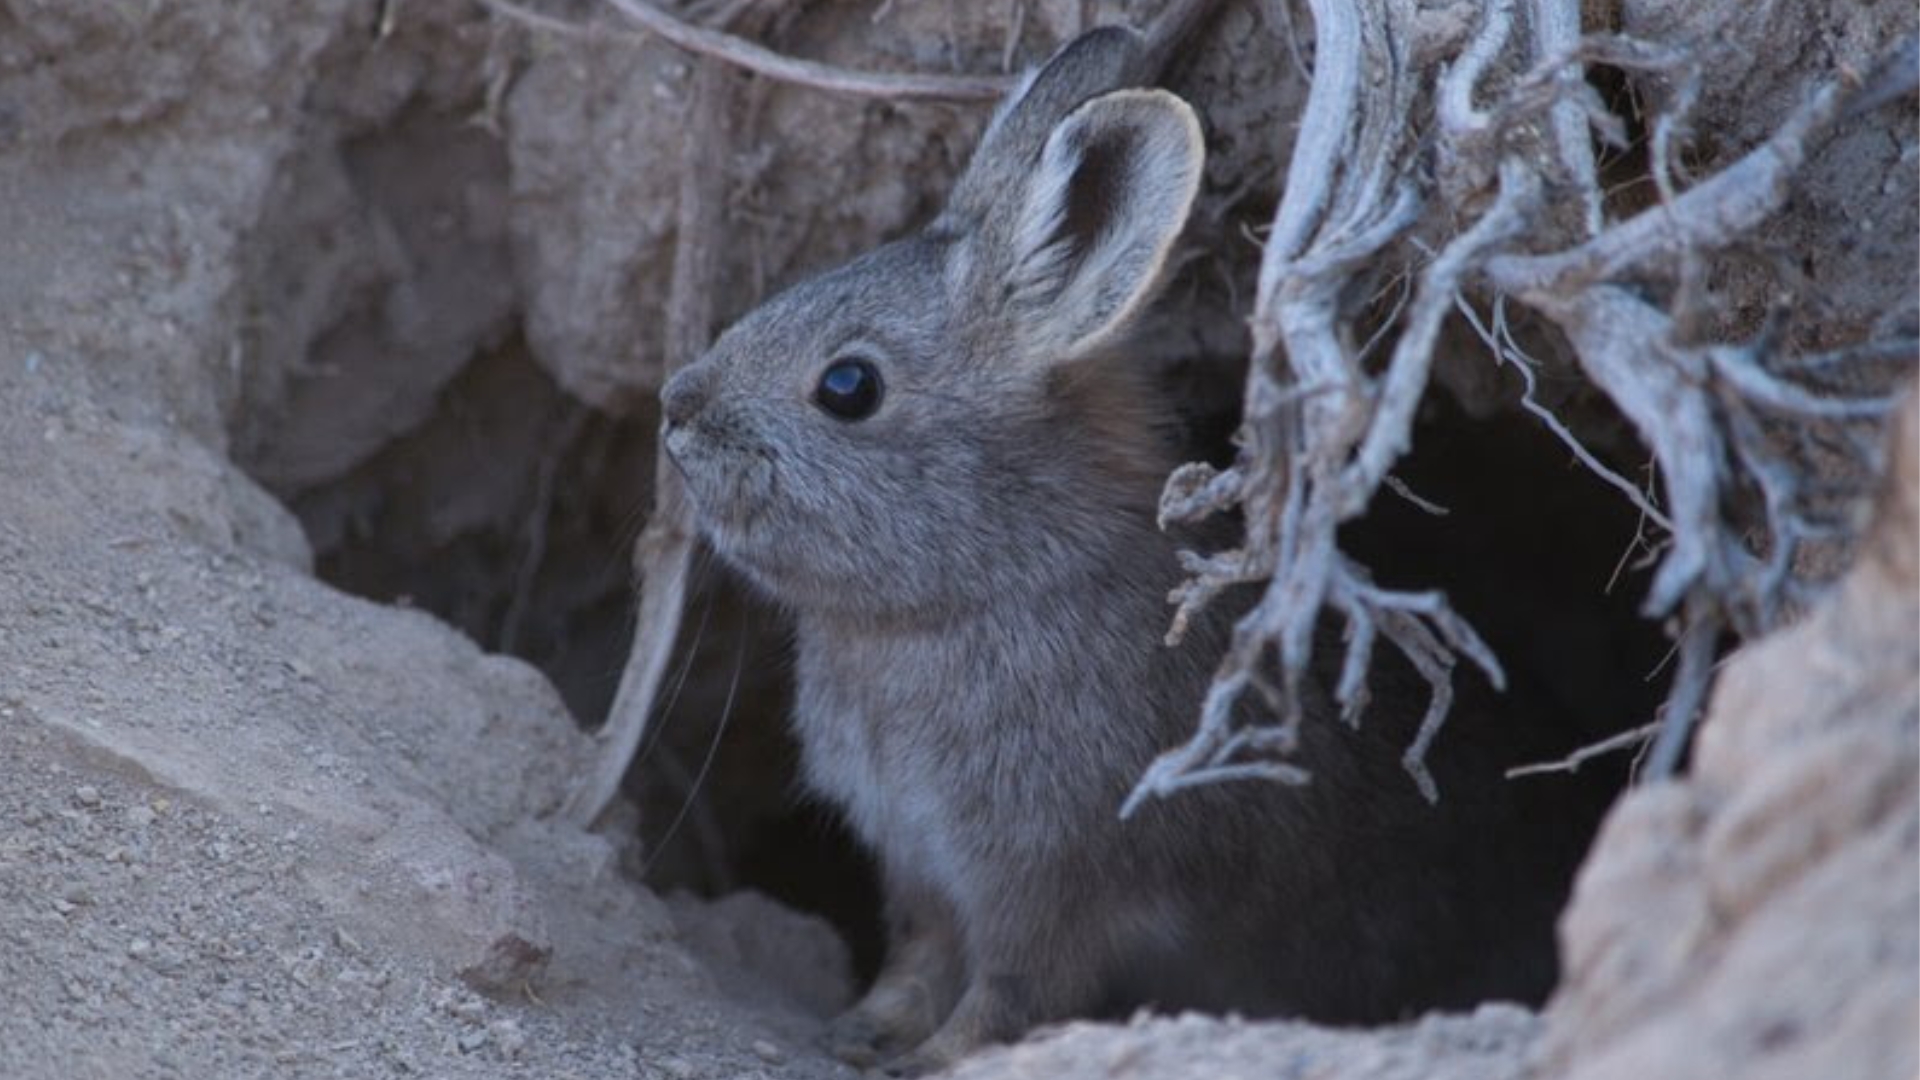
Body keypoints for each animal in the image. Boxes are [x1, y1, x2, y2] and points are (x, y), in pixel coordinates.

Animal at [660, 25, 1582, 1076]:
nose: (677, 411)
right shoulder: (920, 866)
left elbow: (1012, 988)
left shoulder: (1050, 878)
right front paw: (858, 1031)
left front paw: (934, 1057)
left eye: (848, 386)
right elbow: (918, 958)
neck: (984, 584)